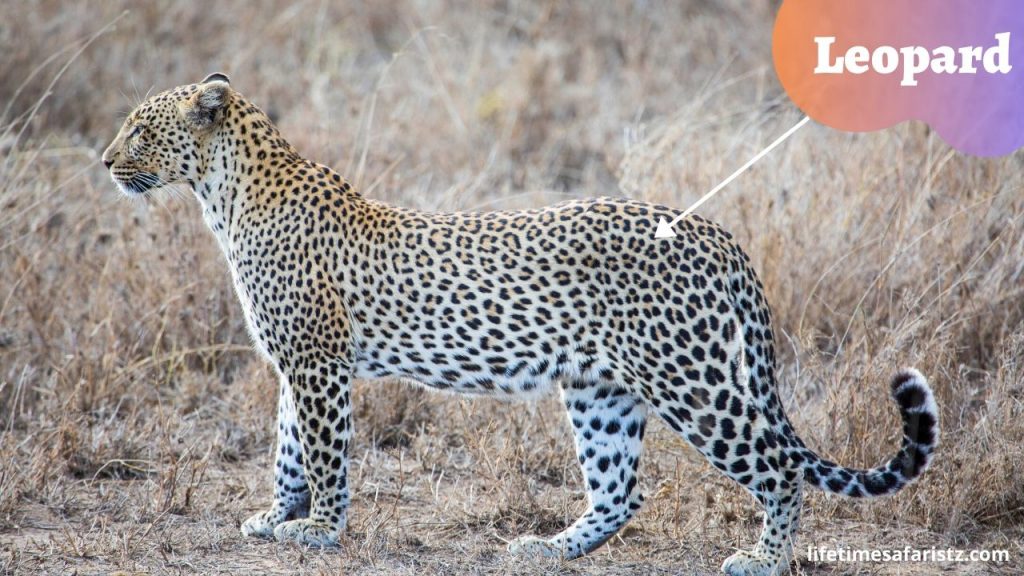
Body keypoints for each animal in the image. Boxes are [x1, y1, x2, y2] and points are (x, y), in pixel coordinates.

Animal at [101, 74, 939, 576]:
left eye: (140, 130)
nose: (105, 161)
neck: (223, 194)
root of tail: (718, 234)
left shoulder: (317, 364)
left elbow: (327, 455)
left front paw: (321, 530)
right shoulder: (297, 364)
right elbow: (287, 452)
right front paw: (277, 517)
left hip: (692, 380)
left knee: (779, 467)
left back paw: (761, 559)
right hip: (603, 391)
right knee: (620, 490)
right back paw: (548, 547)